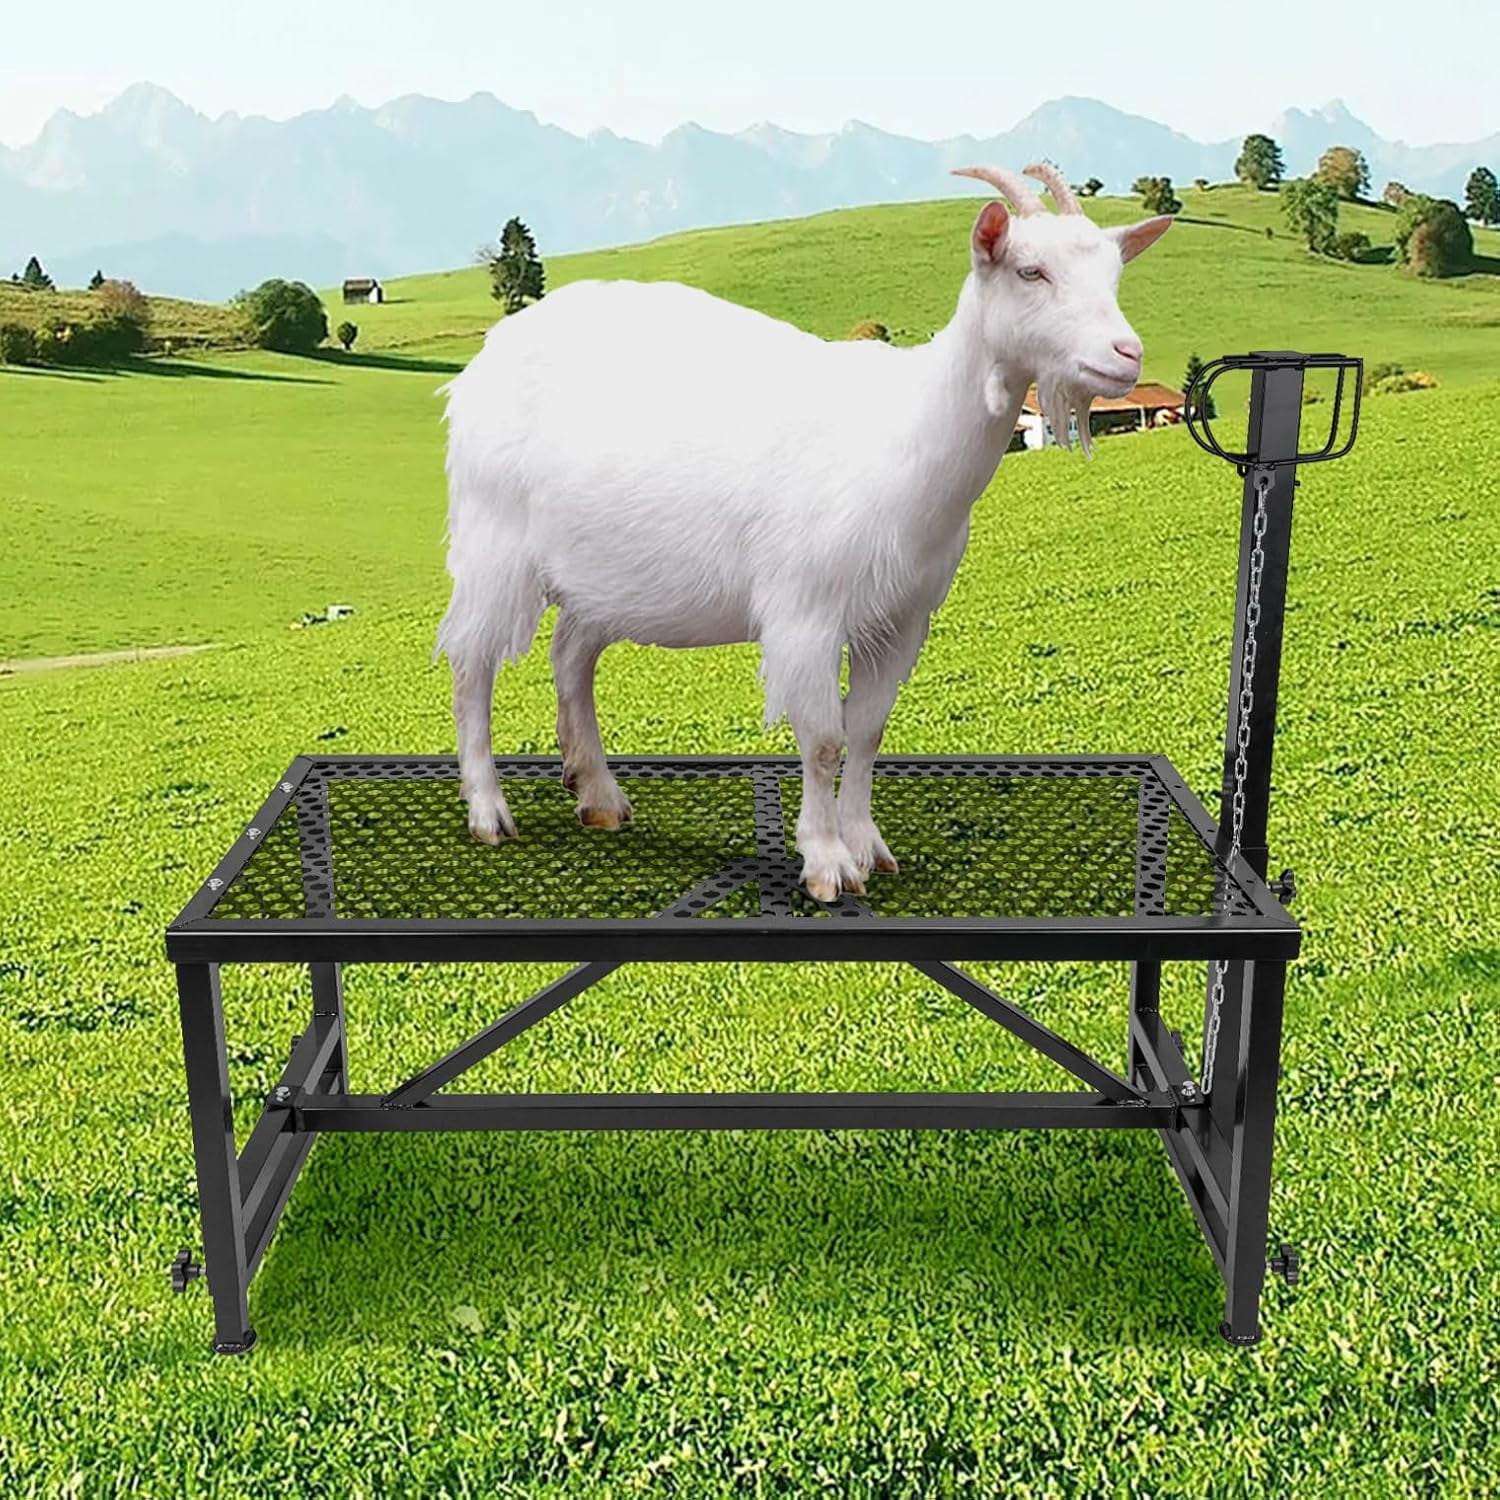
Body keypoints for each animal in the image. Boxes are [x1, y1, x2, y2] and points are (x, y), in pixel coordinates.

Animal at [433, 162, 1172, 903]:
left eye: (1114, 275)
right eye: (1029, 270)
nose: (1127, 355)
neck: (907, 431)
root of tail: (488, 358)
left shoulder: (902, 618)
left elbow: (867, 731)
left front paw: (867, 846)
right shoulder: (806, 608)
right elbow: (821, 738)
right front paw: (825, 861)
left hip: (601, 569)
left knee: (571, 656)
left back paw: (598, 793)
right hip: (493, 539)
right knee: (472, 664)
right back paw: (488, 810)